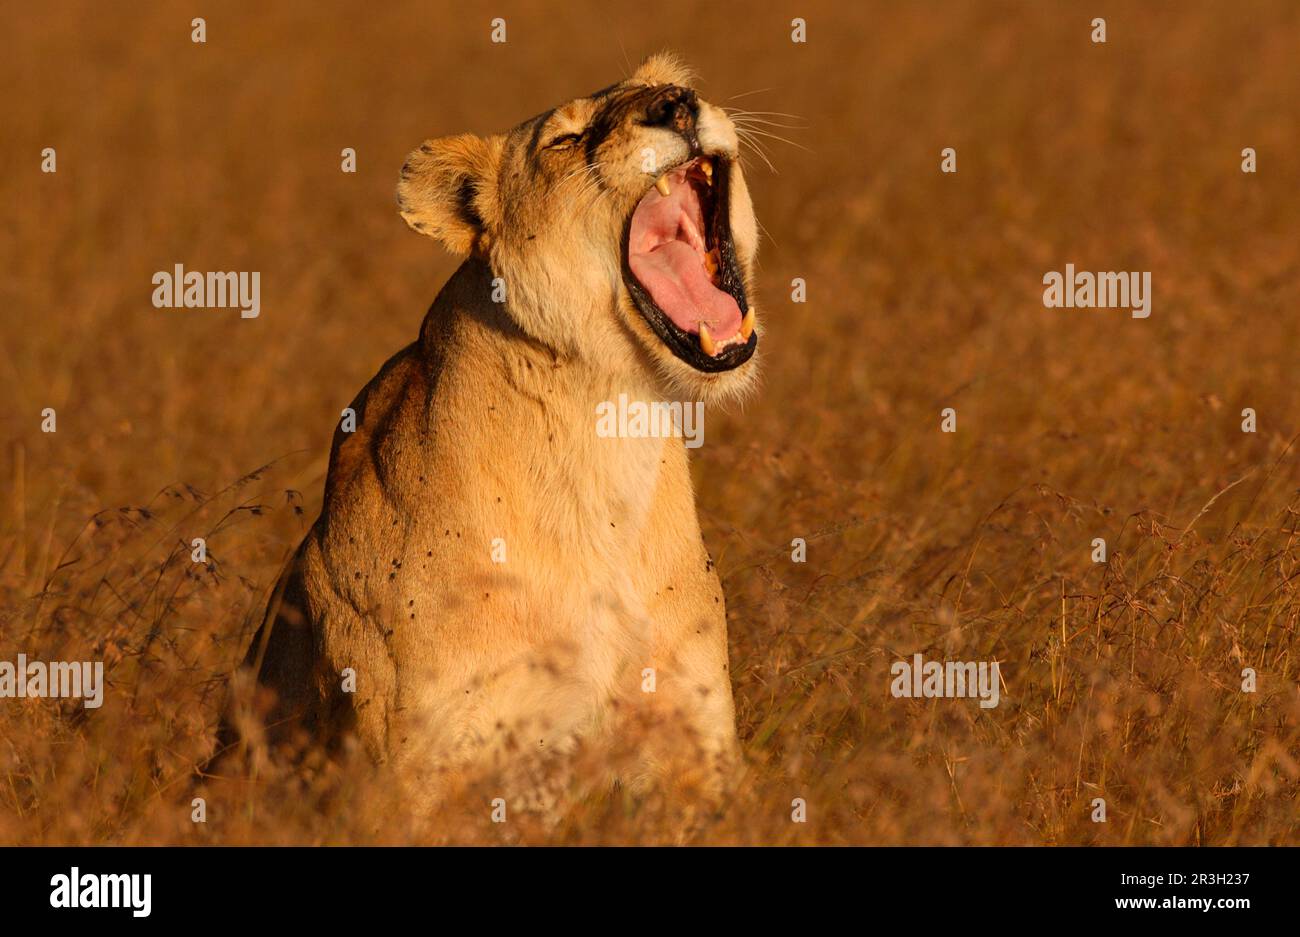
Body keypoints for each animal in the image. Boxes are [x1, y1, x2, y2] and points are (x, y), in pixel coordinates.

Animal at [235, 53, 761, 811]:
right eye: (566, 140)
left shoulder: (697, 749)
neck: (605, 432)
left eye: (679, 85)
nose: (676, 104)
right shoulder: (422, 774)